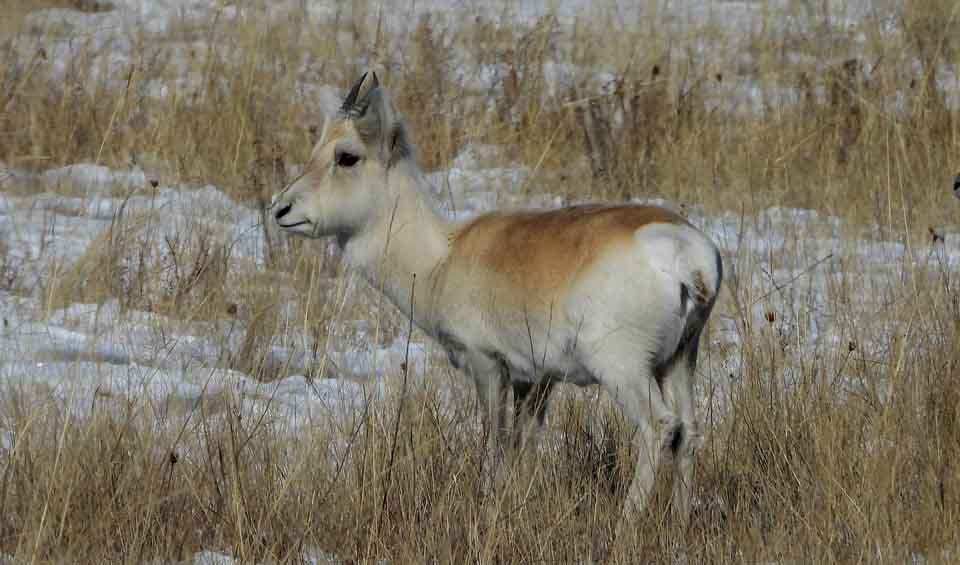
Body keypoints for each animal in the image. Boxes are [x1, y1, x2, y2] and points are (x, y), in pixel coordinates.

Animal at [271, 72, 722, 525]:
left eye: (347, 156)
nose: (280, 209)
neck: (442, 256)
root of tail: (688, 256)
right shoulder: (535, 382)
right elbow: (524, 445)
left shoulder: (487, 366)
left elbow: (496, 444)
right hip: (679, 362)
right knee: (689, 431)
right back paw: (680, 523)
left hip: (624, 370)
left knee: (660, 427)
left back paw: (624, 525)